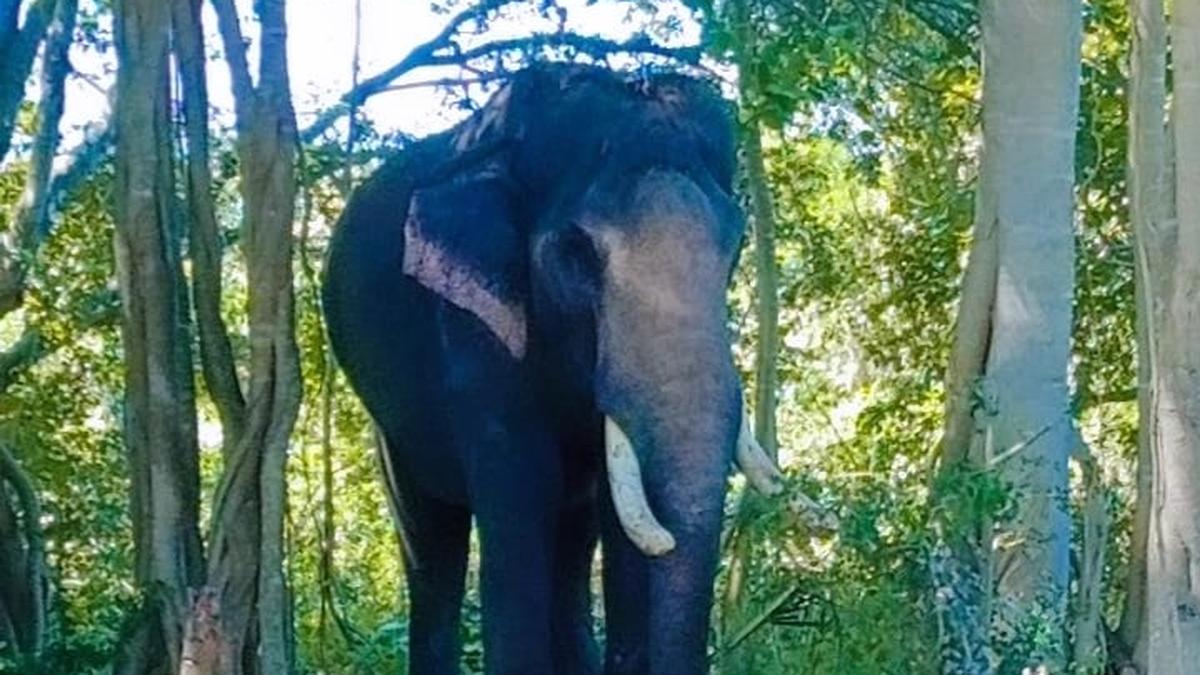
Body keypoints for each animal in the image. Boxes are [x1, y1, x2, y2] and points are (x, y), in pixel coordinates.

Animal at [322, 64, 784, 675]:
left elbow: (617, 527)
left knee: (570, 552)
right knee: (431, 549)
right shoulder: (474, 330)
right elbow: (521, 502)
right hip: (390, 429)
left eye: (734, 248)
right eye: (574, 251)